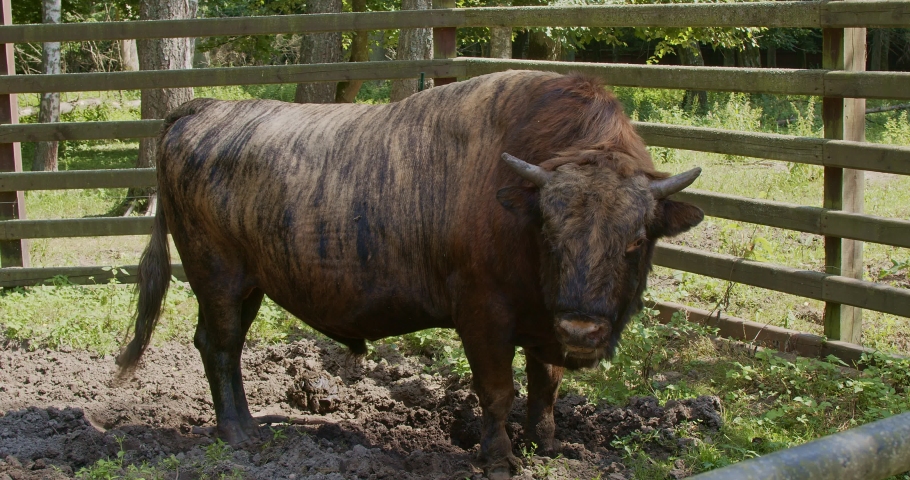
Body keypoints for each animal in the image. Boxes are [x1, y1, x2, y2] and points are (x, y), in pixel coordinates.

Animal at [117, 70, 704, 478]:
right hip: (216, 277)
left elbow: (546, 387)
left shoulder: (544, 325)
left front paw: (549, 444)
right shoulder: (484, 318)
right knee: (217, 345)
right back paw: (238, 434)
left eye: (634, 242)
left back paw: (250, 421)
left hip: (250, 286)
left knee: (226, 345)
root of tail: (202, 109)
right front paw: (499, 458)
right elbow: (497, 391)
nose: (583, 330)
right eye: (551, 233)